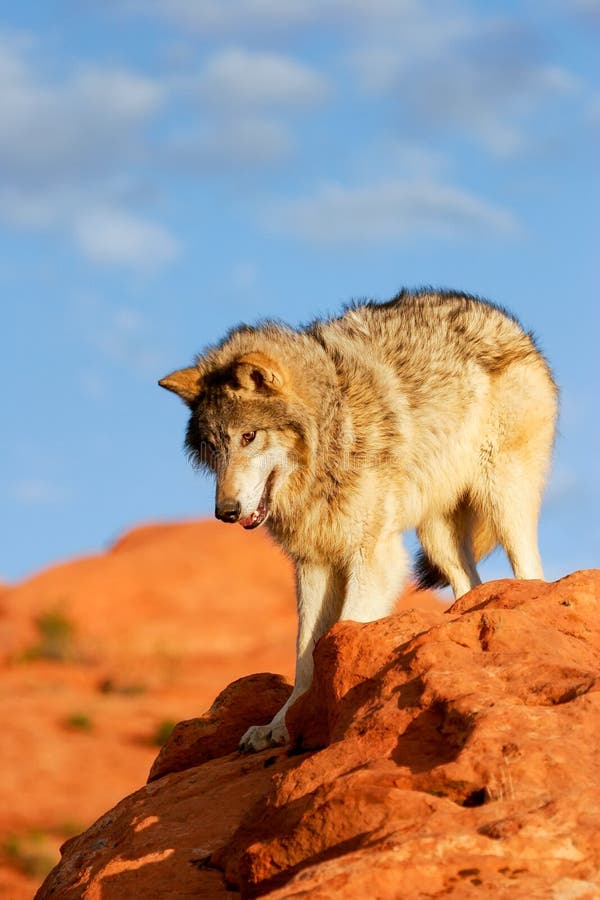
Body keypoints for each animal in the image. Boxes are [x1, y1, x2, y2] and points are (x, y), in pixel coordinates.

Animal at [159, 289, 558, 751]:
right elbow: (305, 656)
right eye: (212, 446)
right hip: (438, 538)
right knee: (468, 585)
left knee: (531, 571)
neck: (334, 431)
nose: (225, 512)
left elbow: (345, 631)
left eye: (248, 436)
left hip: (503, 497)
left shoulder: (374, 556)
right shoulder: (313, 565)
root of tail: (505, 320)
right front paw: (280, 725)